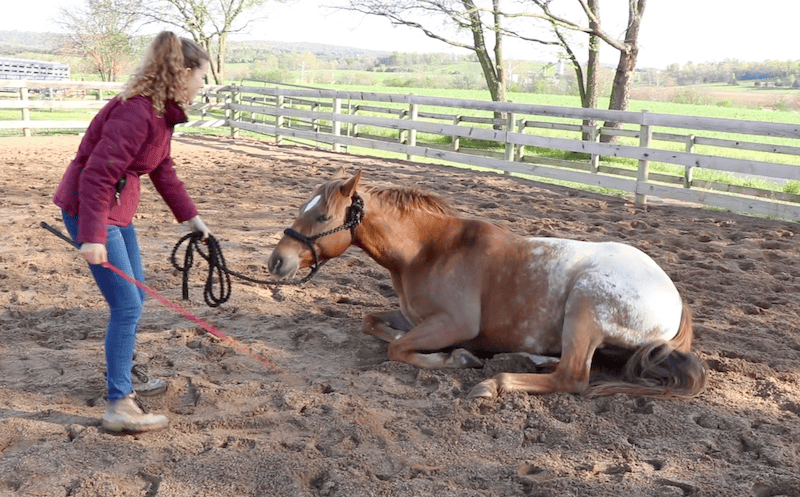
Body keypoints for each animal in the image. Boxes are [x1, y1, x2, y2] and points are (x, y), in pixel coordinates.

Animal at [267, 168, 708, 399]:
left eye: (323, 216)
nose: (277, 260)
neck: (430, 250)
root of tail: (675, 301)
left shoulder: (455, 324)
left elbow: (397, 348)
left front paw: (458, 359)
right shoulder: (418, 318)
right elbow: (371, 323)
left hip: (584, 306)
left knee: (573, 377)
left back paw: (493, 382)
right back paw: (531, 358)